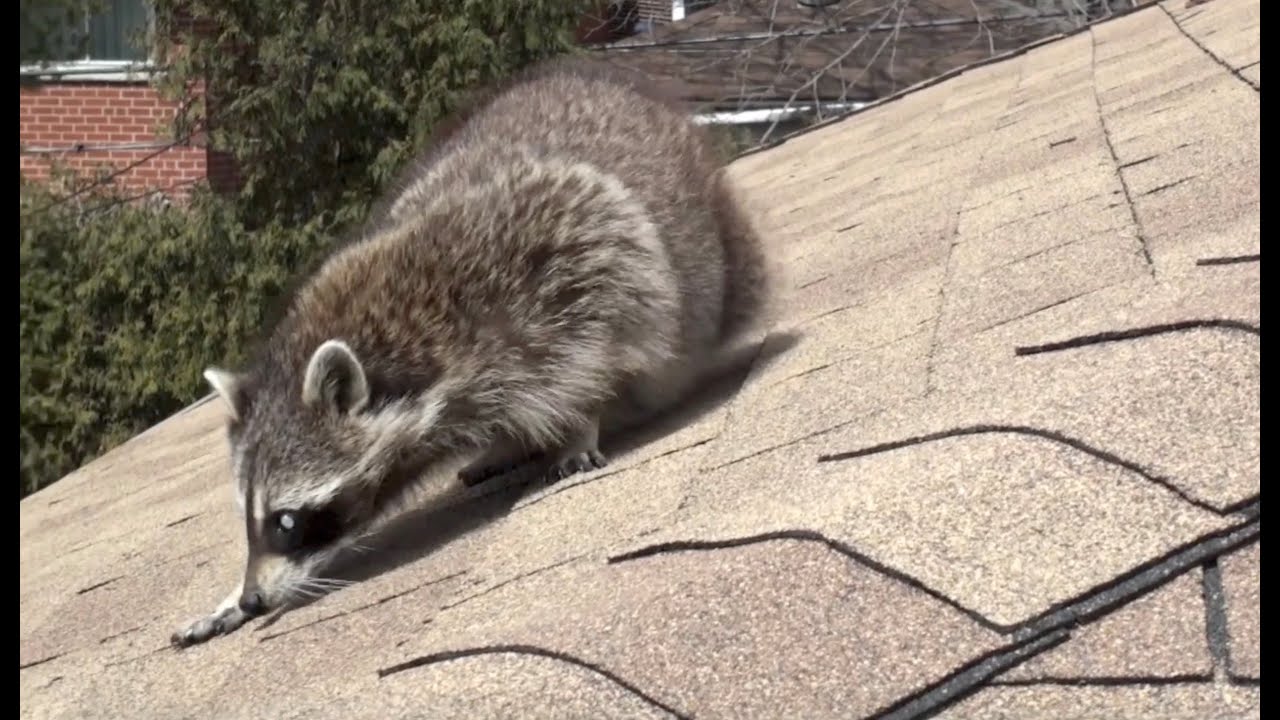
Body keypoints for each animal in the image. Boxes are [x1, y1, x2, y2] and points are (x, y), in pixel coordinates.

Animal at [171, 58, 769, 648]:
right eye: (252, 520)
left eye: (287, 521)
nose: (254, 599)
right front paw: (230, 599)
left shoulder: (544, 257)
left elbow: (598, 324)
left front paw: (578, 420)